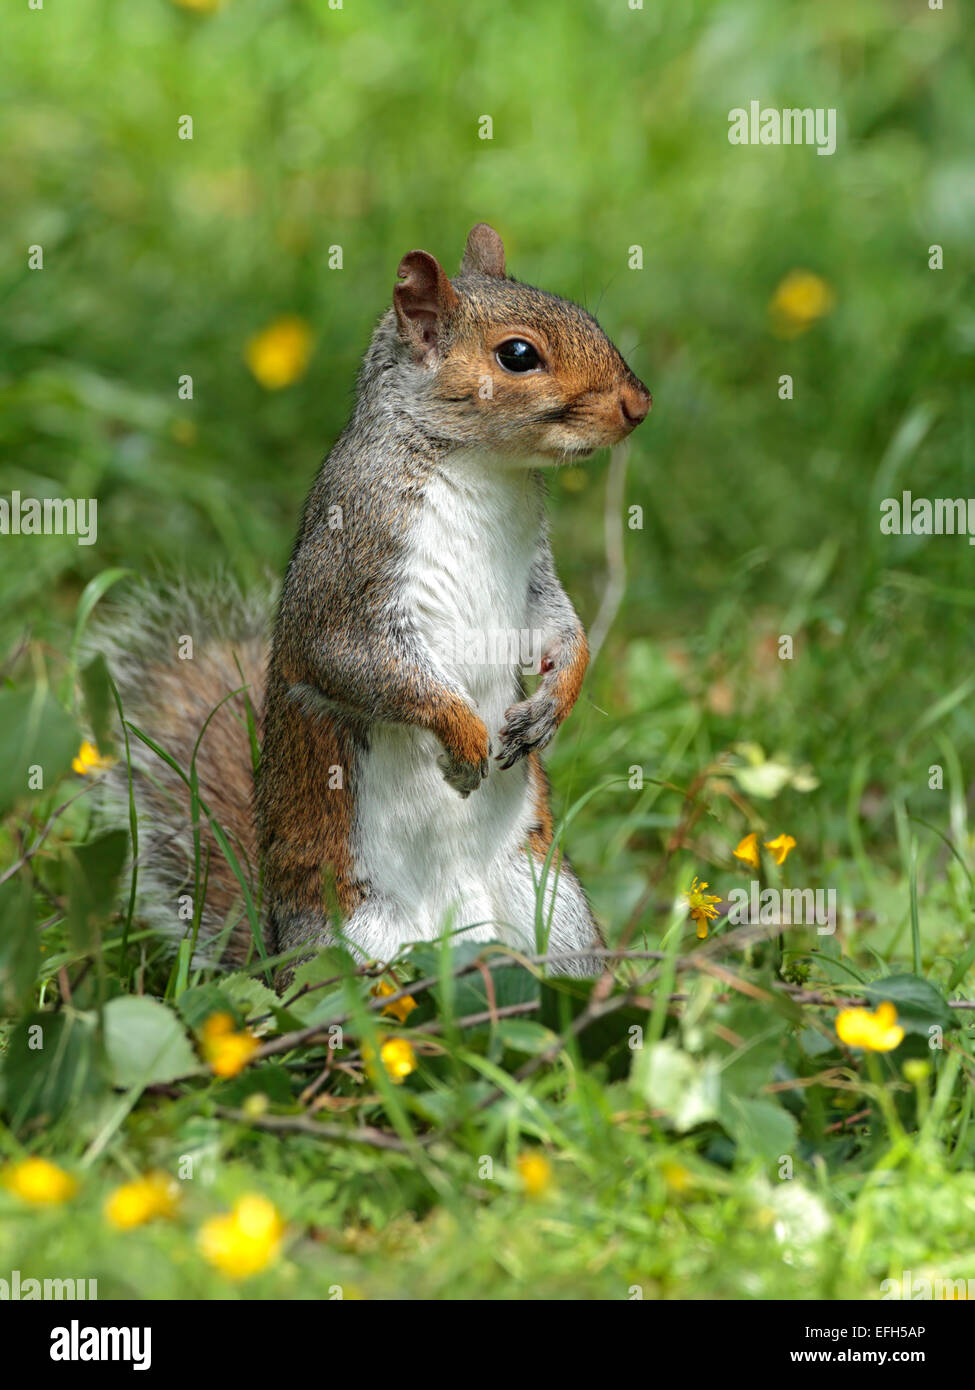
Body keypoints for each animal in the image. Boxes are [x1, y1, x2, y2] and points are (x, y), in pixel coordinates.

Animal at [100, 224, 650, 981]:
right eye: (517, 355)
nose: (638, 404)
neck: (481, 467)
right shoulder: (350, 572)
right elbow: (361, 667)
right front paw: (464, 737)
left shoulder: (532, 571)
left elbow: (559, 629)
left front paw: (551, 704)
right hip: (353, 943)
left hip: (552, 907)